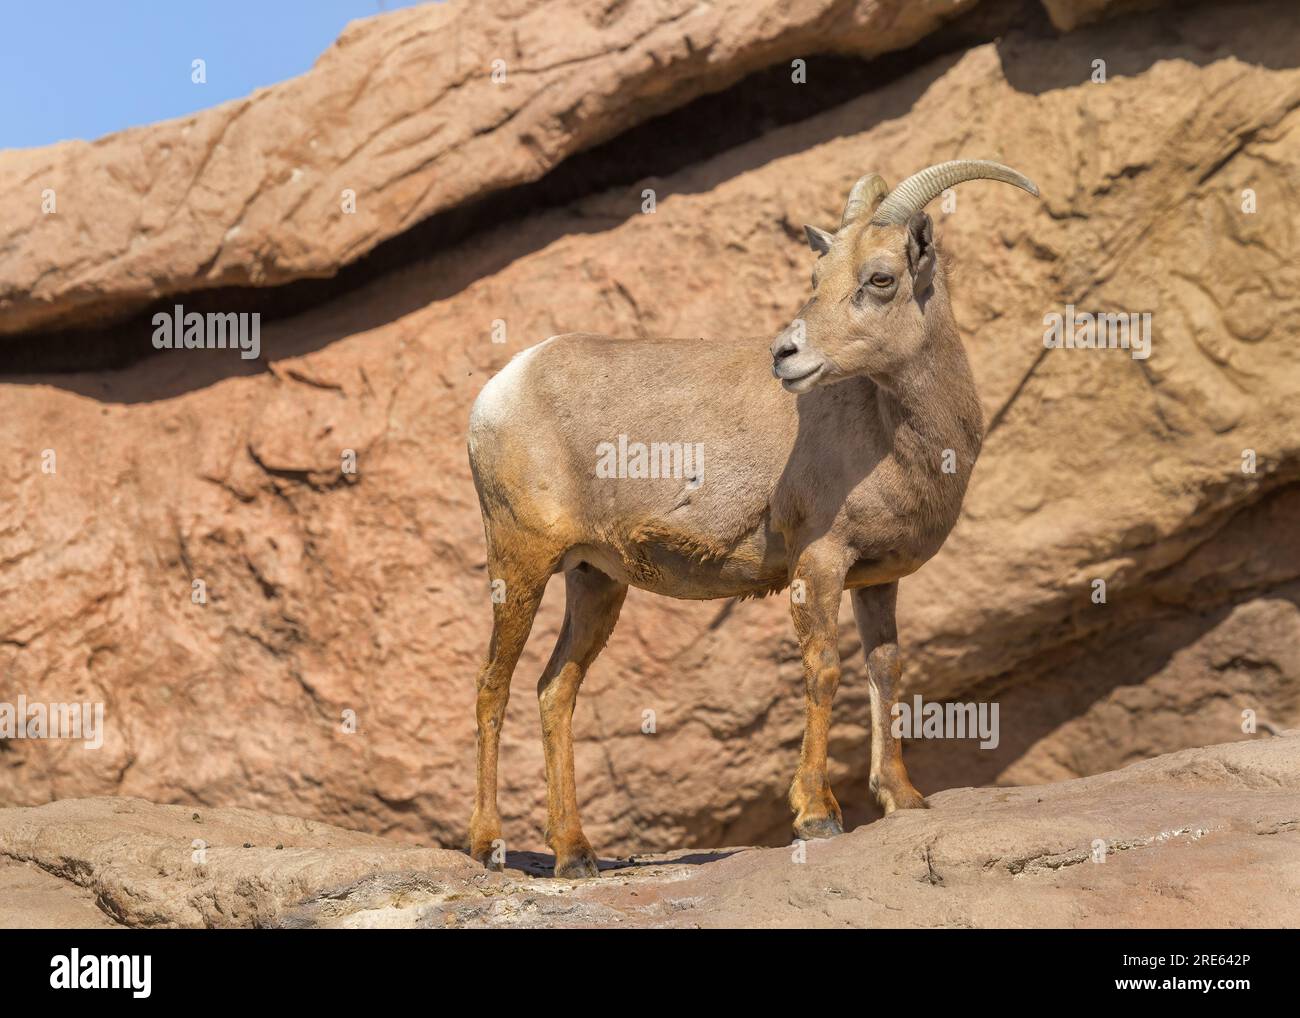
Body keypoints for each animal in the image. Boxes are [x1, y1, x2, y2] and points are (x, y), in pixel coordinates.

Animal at [466, 160, 1040, 877]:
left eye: (880, 278)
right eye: (817, 279)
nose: (785, 354)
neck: (890, 433)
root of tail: (500, 389)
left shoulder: (878, 580)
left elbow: (885, 670)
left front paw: (903, 798)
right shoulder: (819, 563)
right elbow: (825, 669)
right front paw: (817, 816)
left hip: (595, 582)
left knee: (554, 690)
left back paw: (575, 856)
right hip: (520, 563)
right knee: (492, 688)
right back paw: (489, 845)